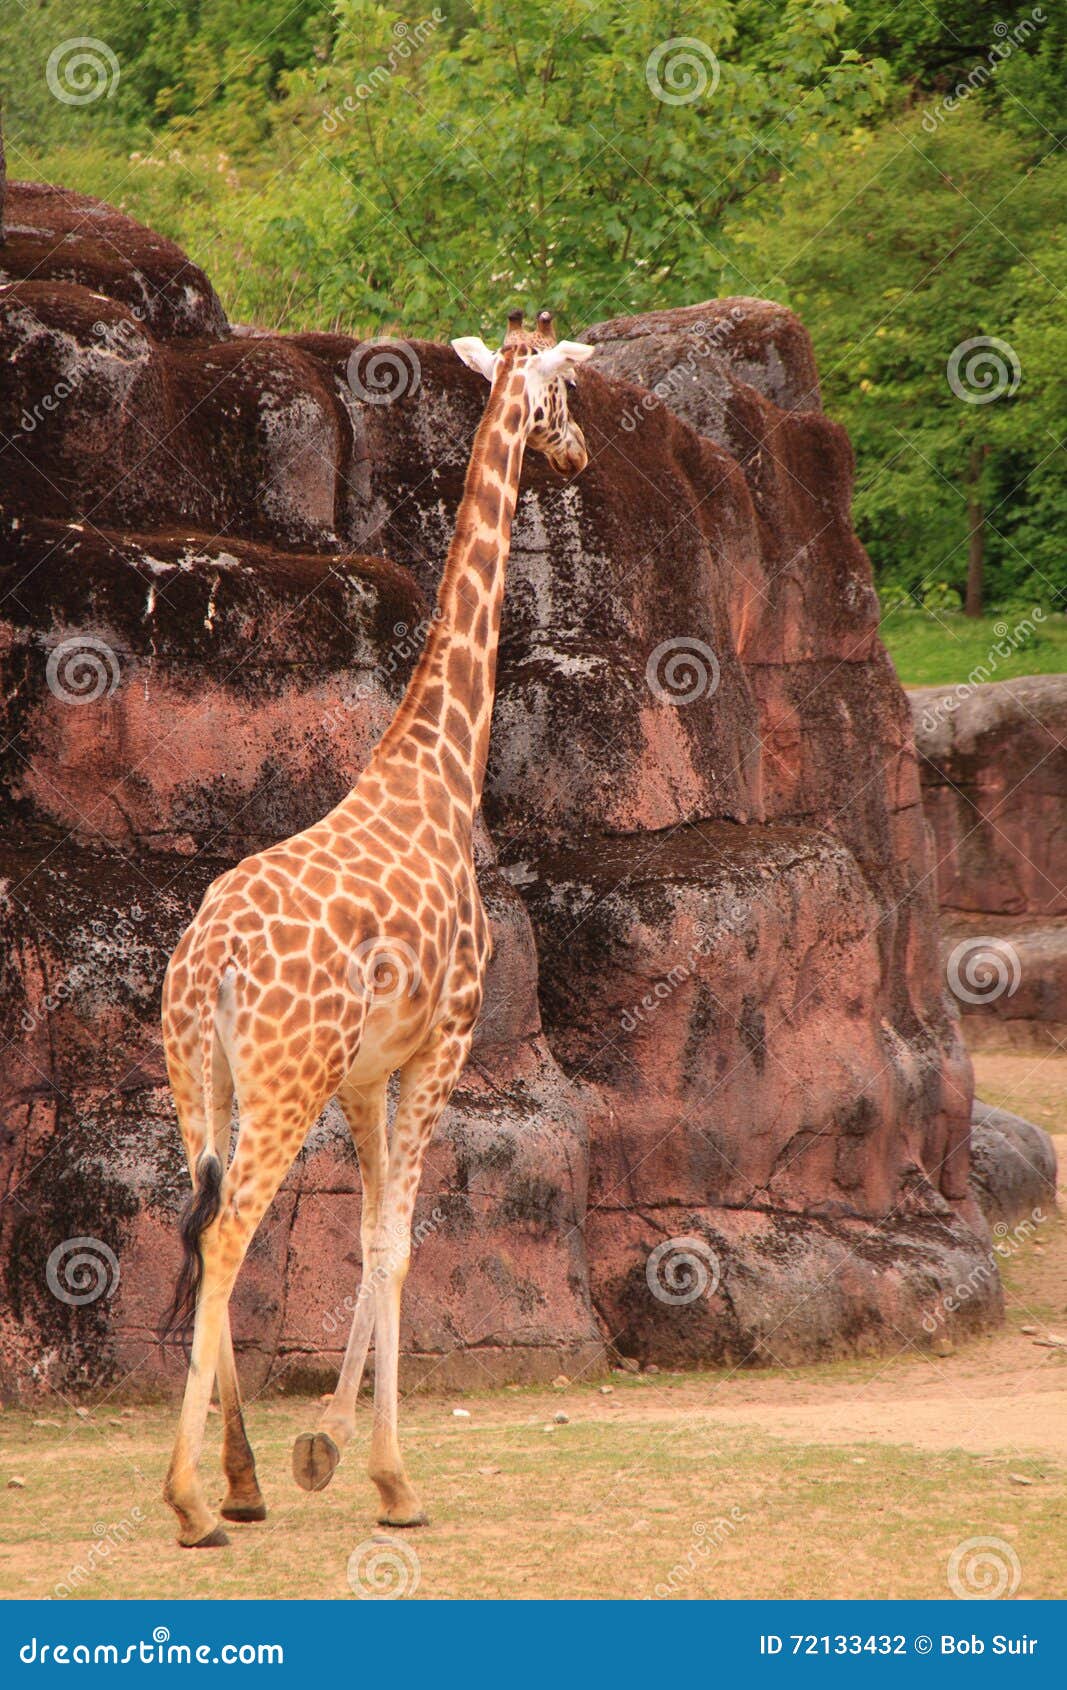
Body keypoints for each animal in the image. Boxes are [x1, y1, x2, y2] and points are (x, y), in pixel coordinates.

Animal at [159, 309, 596, 1547]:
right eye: (562, 394)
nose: (579, 453)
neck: (440, 765)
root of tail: (209, 964)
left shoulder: (364, 1071)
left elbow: (364, 1239)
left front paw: (320, 1449)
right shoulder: (441, 1044)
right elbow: (401, 1244)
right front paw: (389, 1476)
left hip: (197, 1079)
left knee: (195, 1226)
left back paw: (241, 1480)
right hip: (279, 1078)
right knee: (227, 1232)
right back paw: (192, 1499)